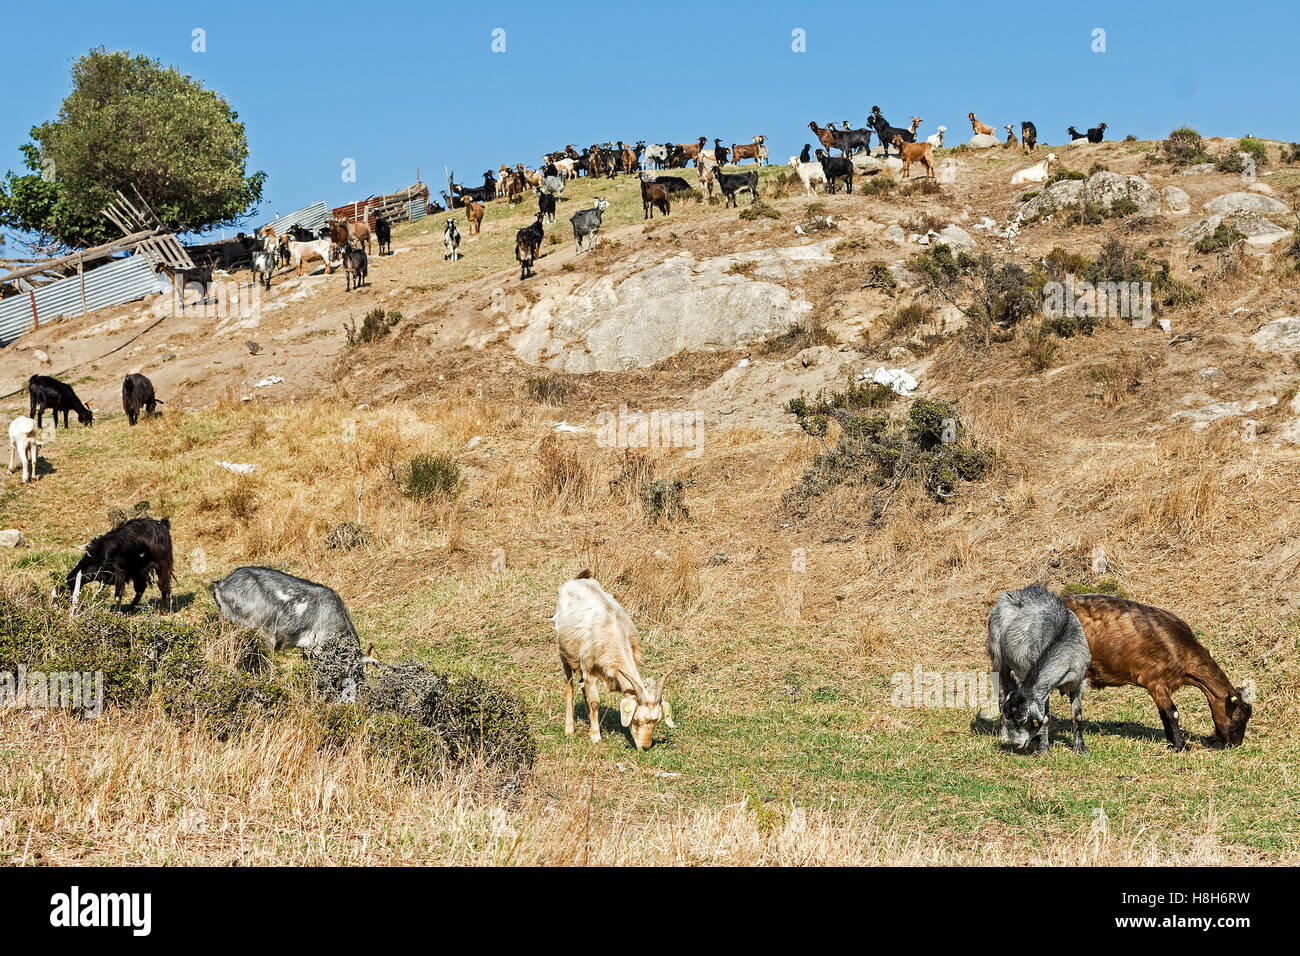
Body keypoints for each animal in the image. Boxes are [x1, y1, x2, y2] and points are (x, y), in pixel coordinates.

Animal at [553, 572, 675, 749]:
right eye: (636, 721)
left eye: (656, 722)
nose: (645, 747)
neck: (614, 633)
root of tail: (576, 580)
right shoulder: (589, 668)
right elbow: (595, 702)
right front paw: (595, 736)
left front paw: (593, 726)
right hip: (563, 651)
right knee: (570, 686)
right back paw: (569, 728)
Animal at [987, 584, 1091, 755]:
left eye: (1023, 720)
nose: (1017, 744)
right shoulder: (1043, 689)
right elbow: (1046, 718)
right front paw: (1044, 750)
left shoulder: (1078, 681)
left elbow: (1077, 716)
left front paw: (1080, 748)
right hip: (998, 658)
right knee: (1001, 695)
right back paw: (1003, 736)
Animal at [1064, 594, 1253, 750]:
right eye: (1238, 717)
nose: (1236, 743)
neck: (1177, 646)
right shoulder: (1155, 680)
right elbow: (1172, 712)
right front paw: (1181, 745)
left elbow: (1164, 713)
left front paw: (1171, 741)